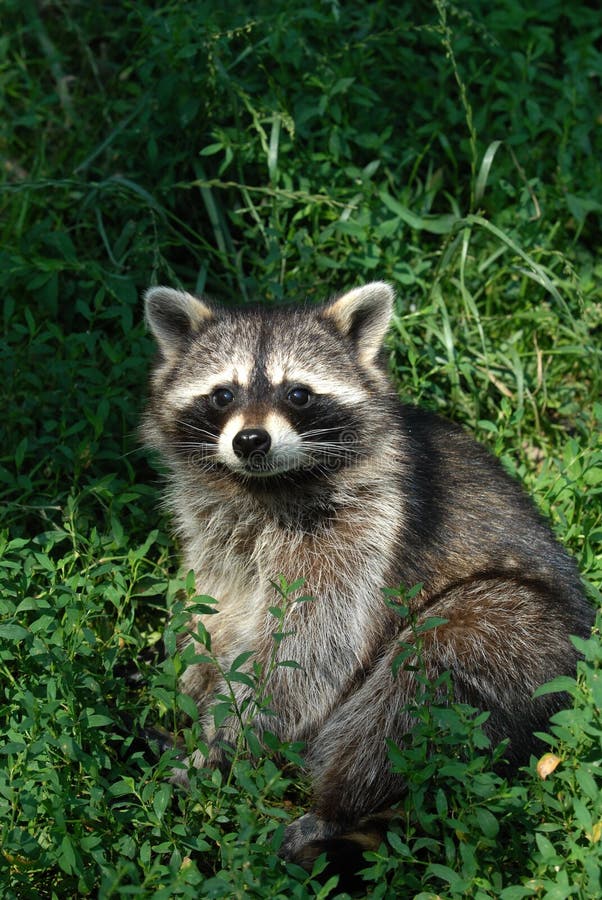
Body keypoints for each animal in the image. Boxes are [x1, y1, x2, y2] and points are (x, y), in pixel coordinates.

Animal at [142, 281, 592, 869]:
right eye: (222, 395)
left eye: (298, 394)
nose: (251, 442)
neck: (263, 487)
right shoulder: (217, 528)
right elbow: (217, 595)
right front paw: (193, 671)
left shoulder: (362, 529)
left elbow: (307, 654)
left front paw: (224, 744)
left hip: (523, 640)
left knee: (418, 684)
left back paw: (335, 809)